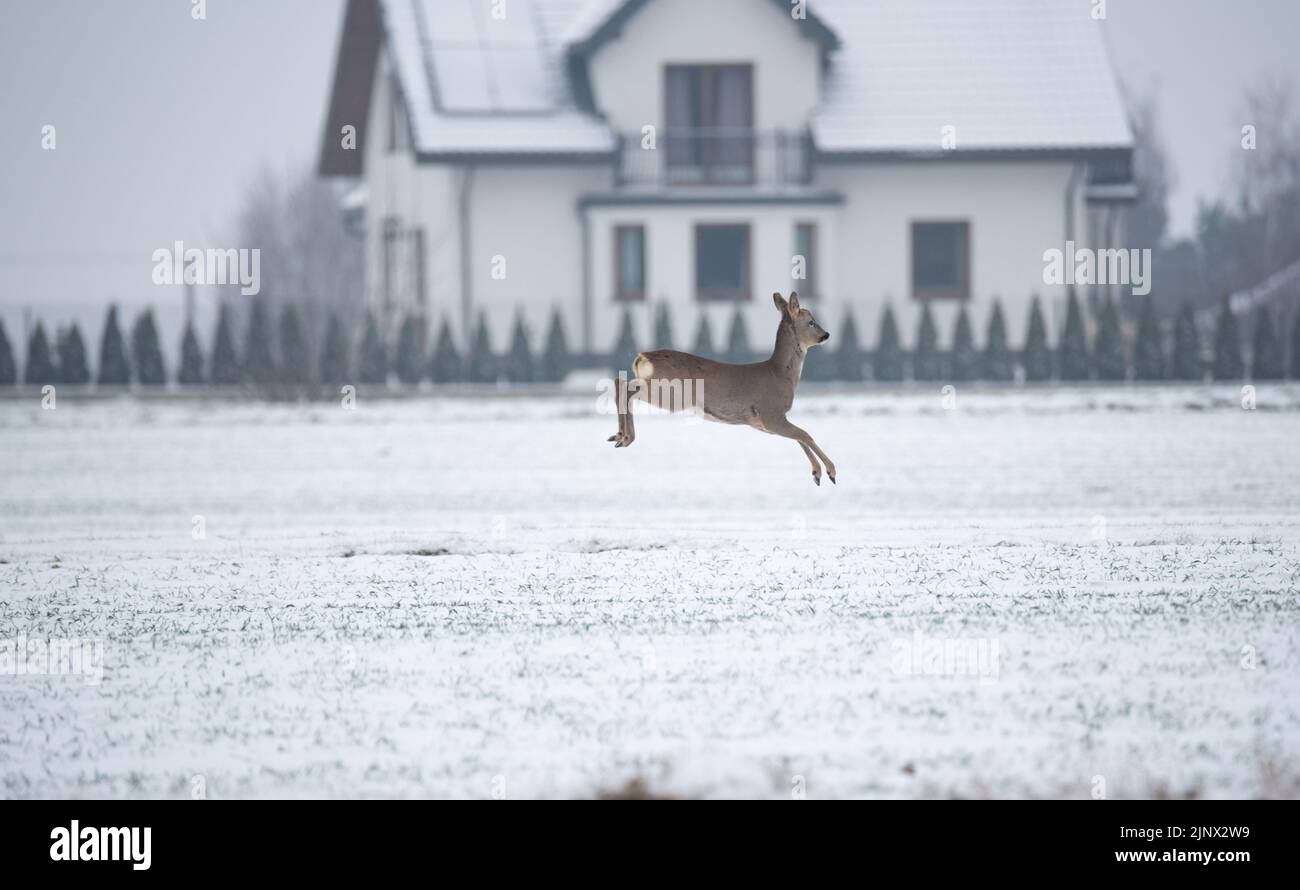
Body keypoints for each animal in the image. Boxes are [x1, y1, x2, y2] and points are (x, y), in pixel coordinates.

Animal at [608, 291, 837, 486]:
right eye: (811, 322)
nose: (826, 334)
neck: (780, 374)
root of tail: (642, 357)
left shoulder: (764, 423)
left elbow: (799, 437)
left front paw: (817, 474)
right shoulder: (770, 413)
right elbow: (805, 434)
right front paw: (830, 471)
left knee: (620, 383)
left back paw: (619, 436)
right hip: (670, 392)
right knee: (624, 385)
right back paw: (626, 437)